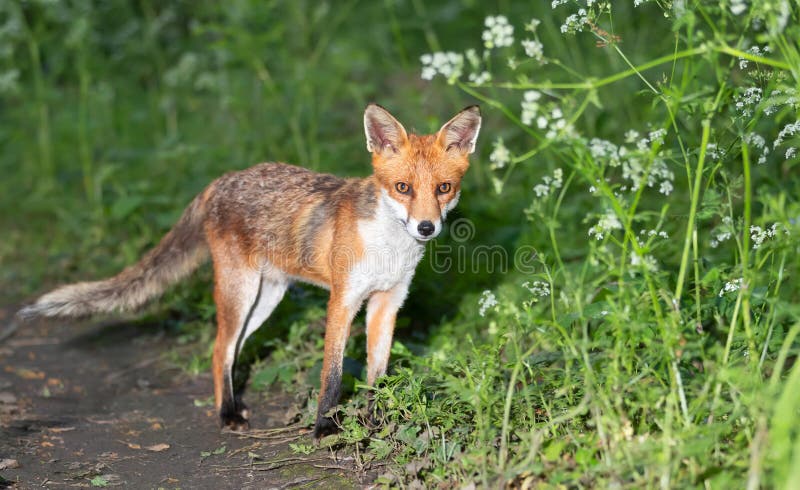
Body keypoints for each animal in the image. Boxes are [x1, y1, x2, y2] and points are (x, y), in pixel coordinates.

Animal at [18, 104, 481, 438]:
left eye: (443, 188)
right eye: (403, 188)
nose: (426, 227)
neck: (390, 249)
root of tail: (222, 180)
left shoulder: (388, 302)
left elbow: (376, 377)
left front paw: (375, 423)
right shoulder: (343, 301)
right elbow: (331, 377)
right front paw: (325, 429)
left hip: (266, 298)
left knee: (232, 349)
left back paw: (234, 403)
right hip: (240, 292)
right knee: (218, 349)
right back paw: (226, 415)